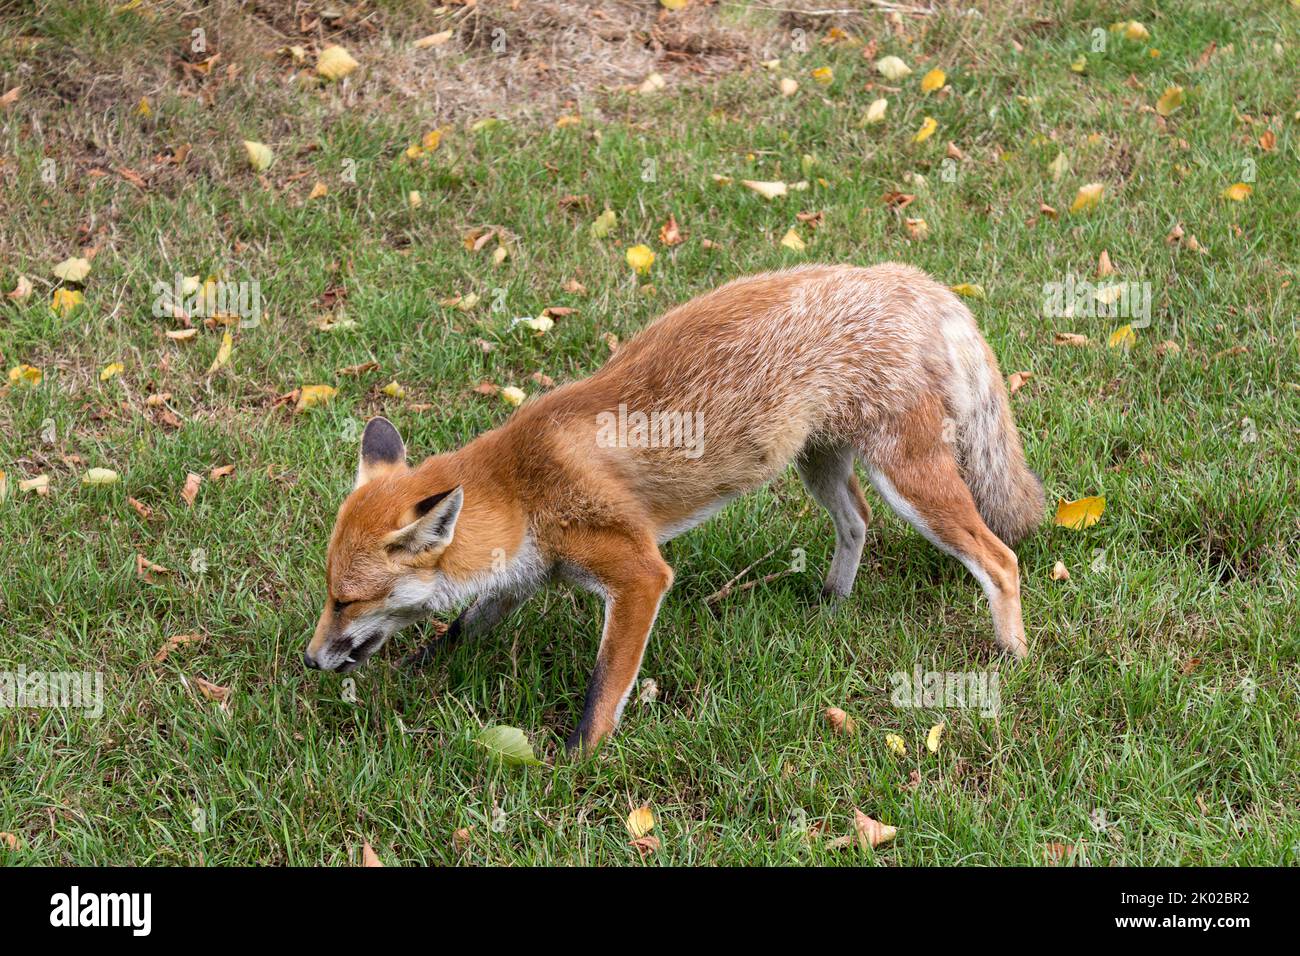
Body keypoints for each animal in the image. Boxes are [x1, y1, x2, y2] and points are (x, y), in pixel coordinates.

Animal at [304, 263, 1046, 753]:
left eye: (347, 600)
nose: (310, 662)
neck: (522, 486)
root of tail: (906, 276)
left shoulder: (637, 573)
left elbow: (605, 687)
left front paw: (576, 762)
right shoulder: (523, 575)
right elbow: (458, 630)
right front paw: (414, 672)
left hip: (912, 481)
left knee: (1000, 558)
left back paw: (1012, 653)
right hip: (820, 462)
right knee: (858, 521)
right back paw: (833, 601)